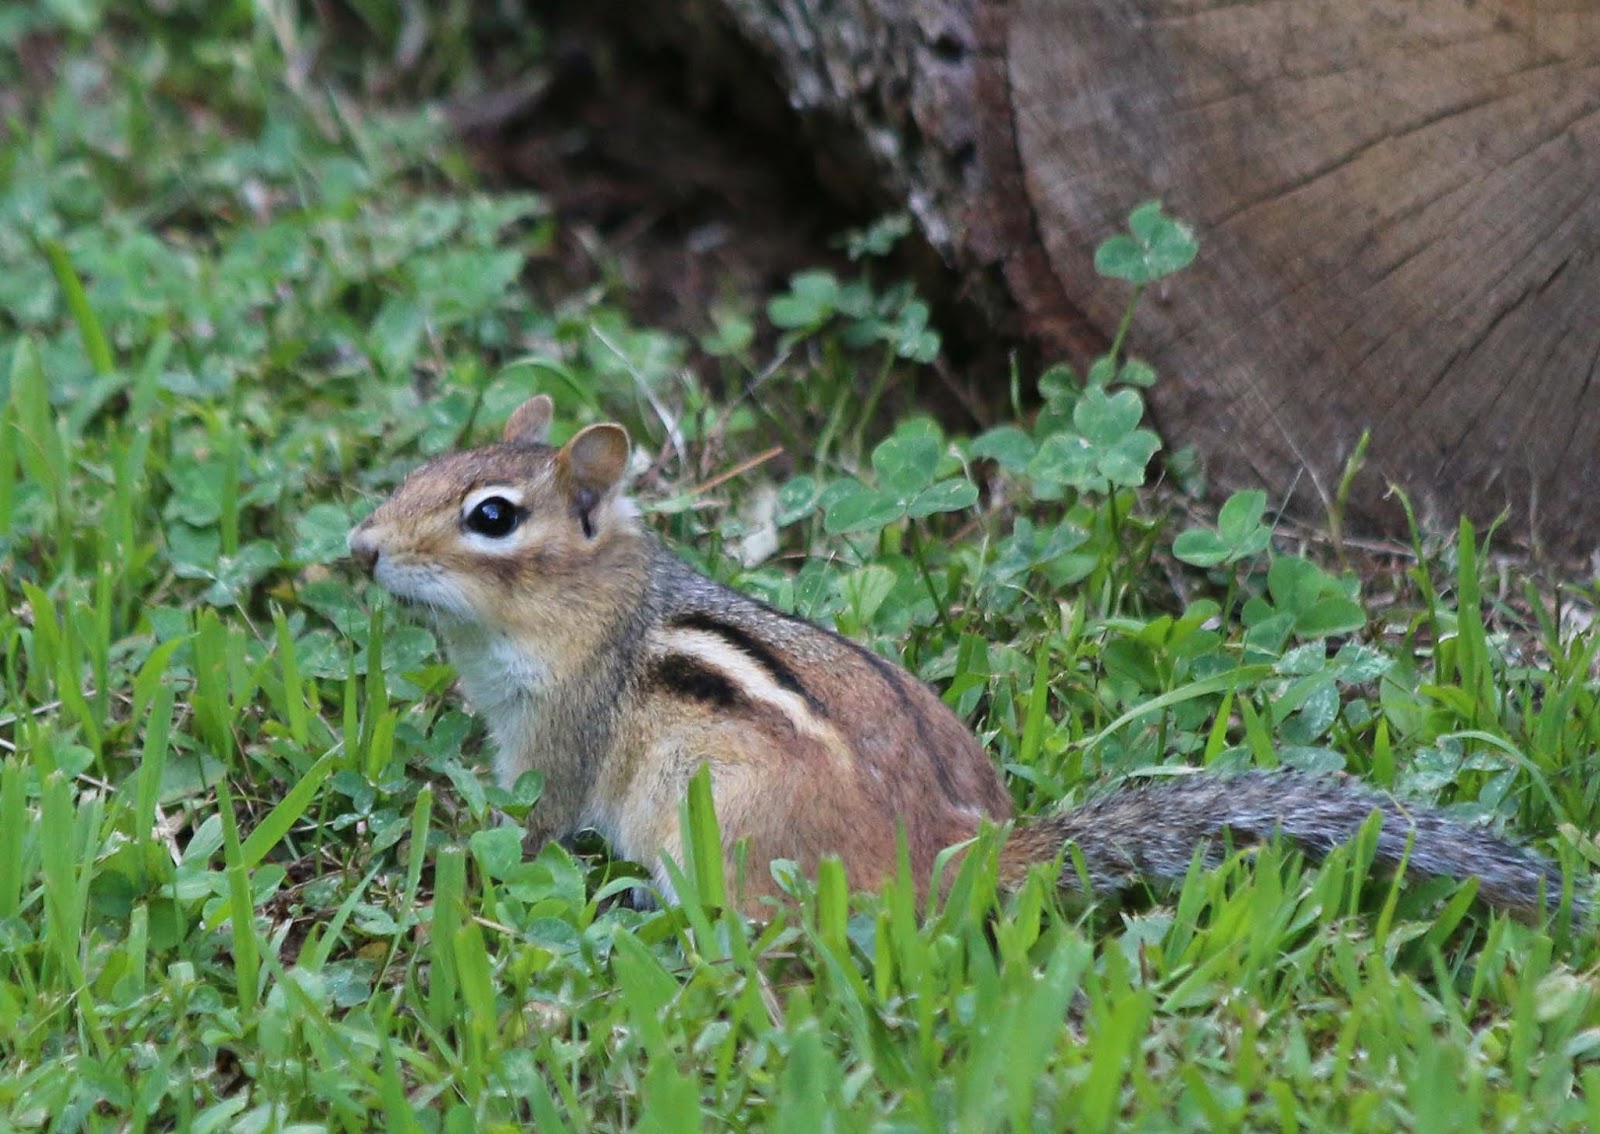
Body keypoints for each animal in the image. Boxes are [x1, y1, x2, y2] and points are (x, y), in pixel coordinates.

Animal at [347, 394, 1579, 920]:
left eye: (492, 516)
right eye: (424, 467)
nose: (358, 546)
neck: (592, 607)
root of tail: (958, 856)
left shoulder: (564, 739)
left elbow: (532, 824)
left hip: (718, 834)